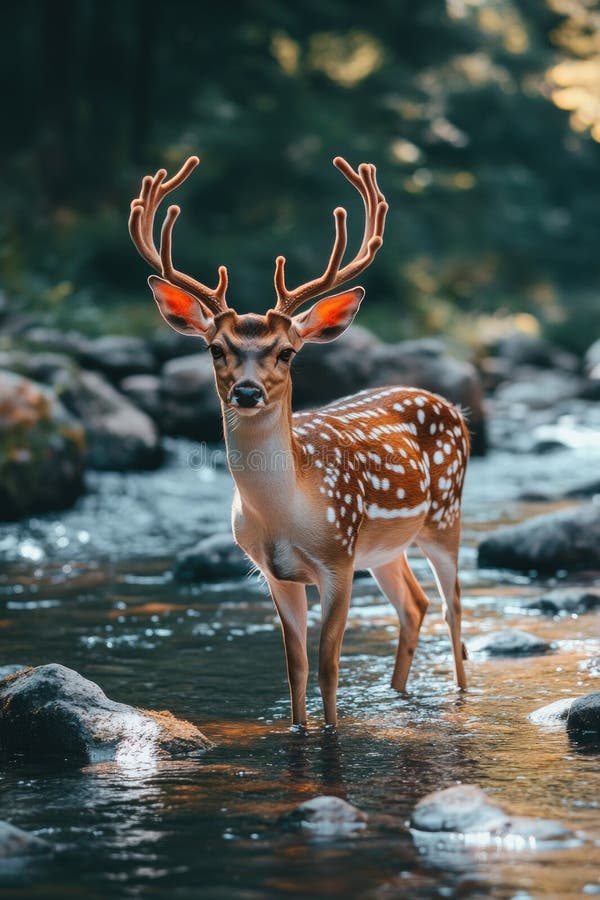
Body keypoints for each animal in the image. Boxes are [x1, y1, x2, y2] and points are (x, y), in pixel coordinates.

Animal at [129, 154, 470, 728]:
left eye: (286, 352)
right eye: (216, 348)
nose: (246, 391)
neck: (289, 511)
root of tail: (453, 408)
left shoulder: (337, 559)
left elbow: (329, 664)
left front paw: (333, 729)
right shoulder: (275, 572)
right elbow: (295, 666)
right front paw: (297, 729)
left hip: (444, 516)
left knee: (452, 608)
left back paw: (463, 695)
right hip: (384, 549)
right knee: (414, 604)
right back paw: (398, 694)